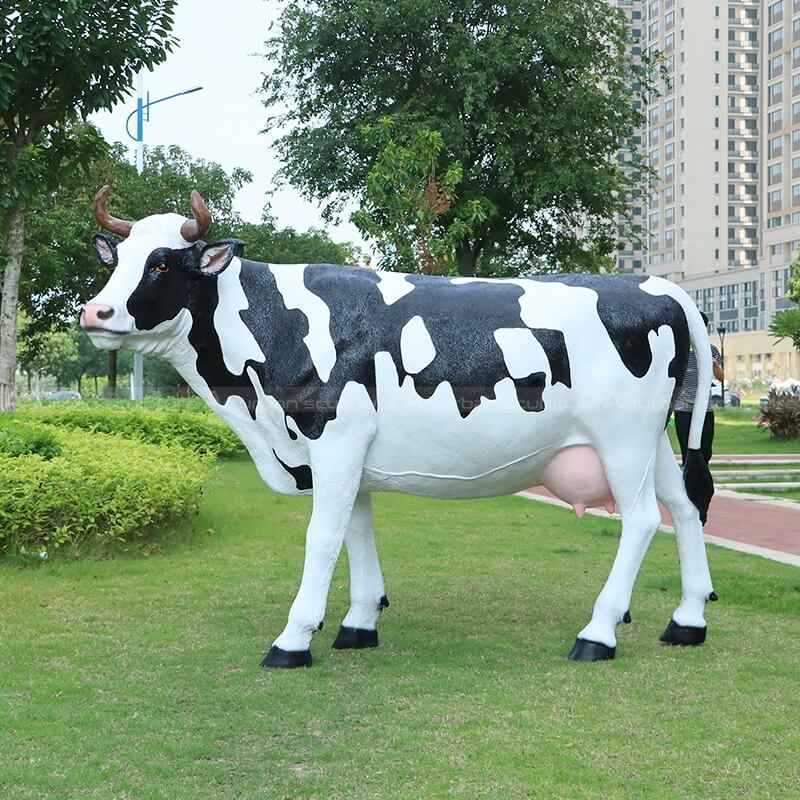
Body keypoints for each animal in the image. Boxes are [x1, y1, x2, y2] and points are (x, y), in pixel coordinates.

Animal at [81, 187, 716, 668]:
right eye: (115, 261)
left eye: (162, 262)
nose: (94, 312)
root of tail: (655, 284)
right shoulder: (348, 456)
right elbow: (357, 534)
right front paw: (359, 624)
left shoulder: (334, 437)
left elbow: (322, 537)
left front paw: (294, 639)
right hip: (650, 441)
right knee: (684, 508)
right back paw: (687, 621)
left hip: (622, 437)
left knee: (643, 519)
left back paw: (597, 634)